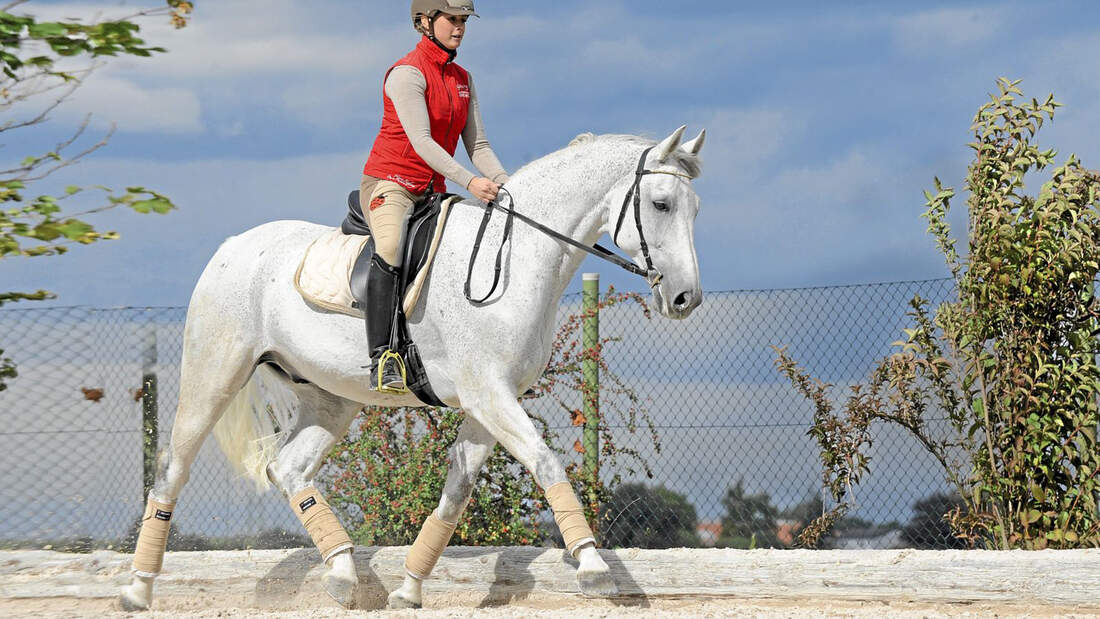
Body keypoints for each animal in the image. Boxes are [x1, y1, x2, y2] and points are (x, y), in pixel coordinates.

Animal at [119, 125, 706, 611]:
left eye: (694, 208)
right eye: (660, 204)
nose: (685, 299)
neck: (518, 256)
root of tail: (232, 247)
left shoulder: (489, 402)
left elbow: (456, 492)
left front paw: (409, 587)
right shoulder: (489, 393)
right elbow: (546, 463)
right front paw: (593, 567)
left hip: (329, 398)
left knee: (287, 469)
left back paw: (342, 575)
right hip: (215, 375)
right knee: (173, 467)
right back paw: (137, 590)